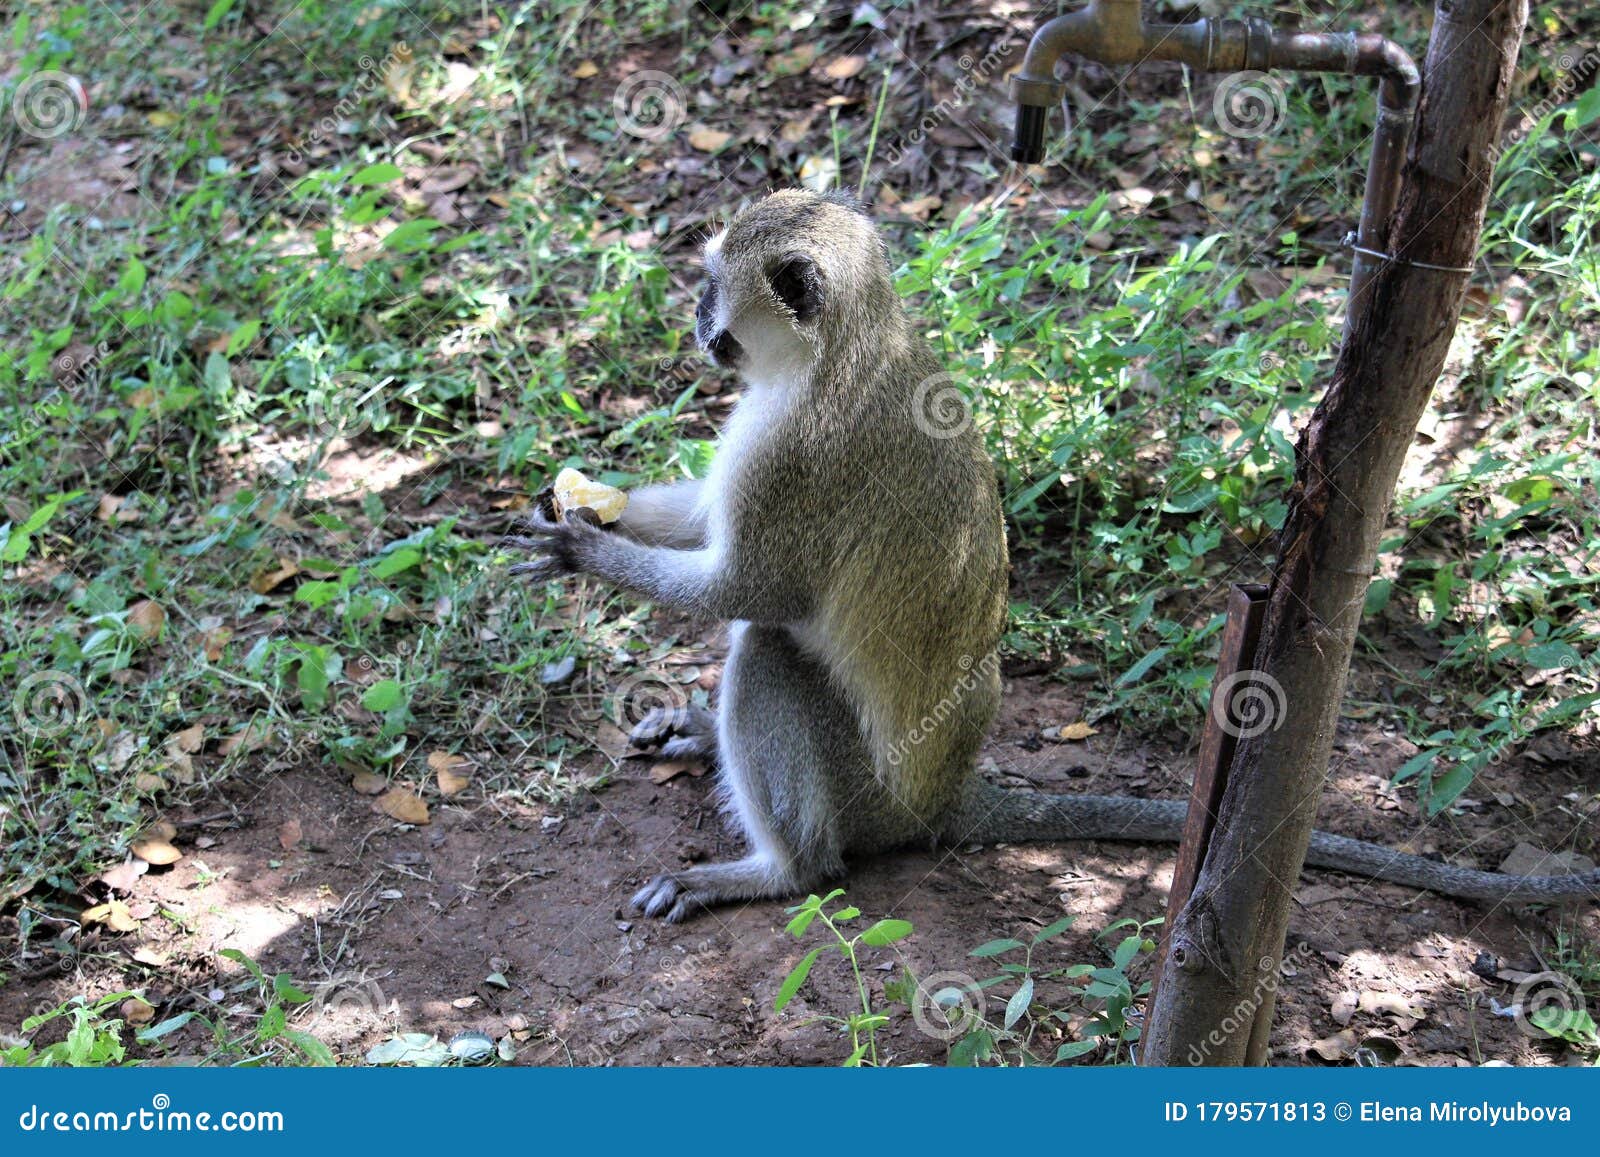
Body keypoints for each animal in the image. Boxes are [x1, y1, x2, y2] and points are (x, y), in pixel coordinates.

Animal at [504, 188, 1599, 921]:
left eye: (709, 288)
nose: (696, 325)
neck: (841, 351)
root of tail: (947, 795)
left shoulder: (799, 455)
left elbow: (751, 583)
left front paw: (583, 551)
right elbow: (701, 519)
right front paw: (585, 502)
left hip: (870, 796)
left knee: (771, 654)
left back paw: (781, 868)